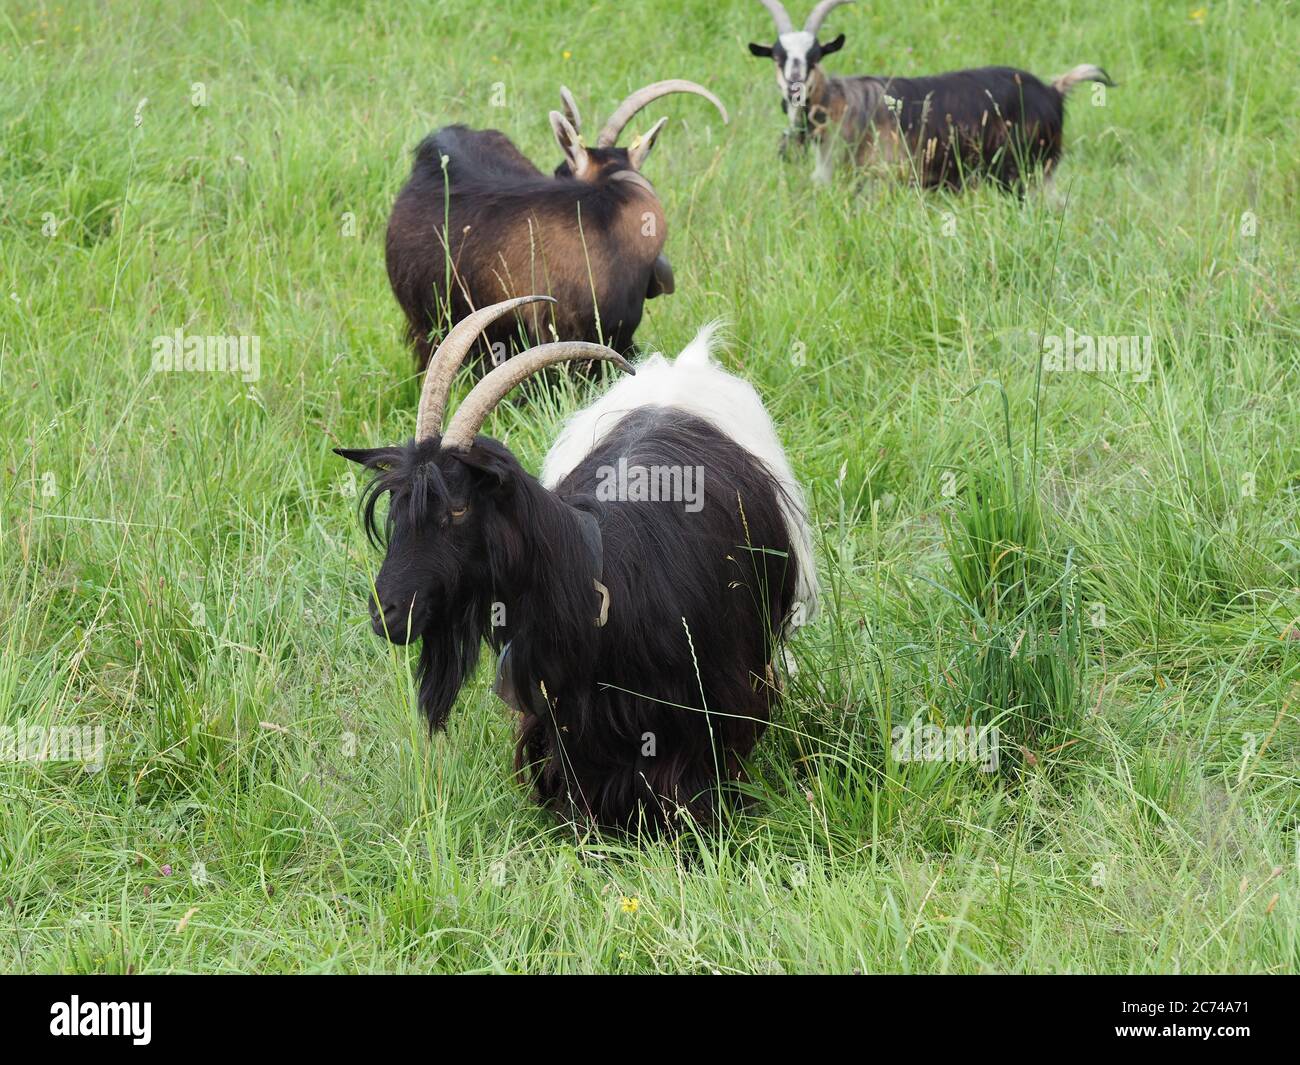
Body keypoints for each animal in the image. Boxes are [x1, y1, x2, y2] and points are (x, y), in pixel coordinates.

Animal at [336, 296, 818, 832]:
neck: (600, 580)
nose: (386, 612)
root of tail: (685, 369)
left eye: (458, 509)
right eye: (396, 509)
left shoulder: (712, 699)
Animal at [748, 0, 1114, 191]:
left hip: (1026, 172)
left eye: (815, 56)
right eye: (778, 57)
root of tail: (1054, 89)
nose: (794, 88)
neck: (843, 106)